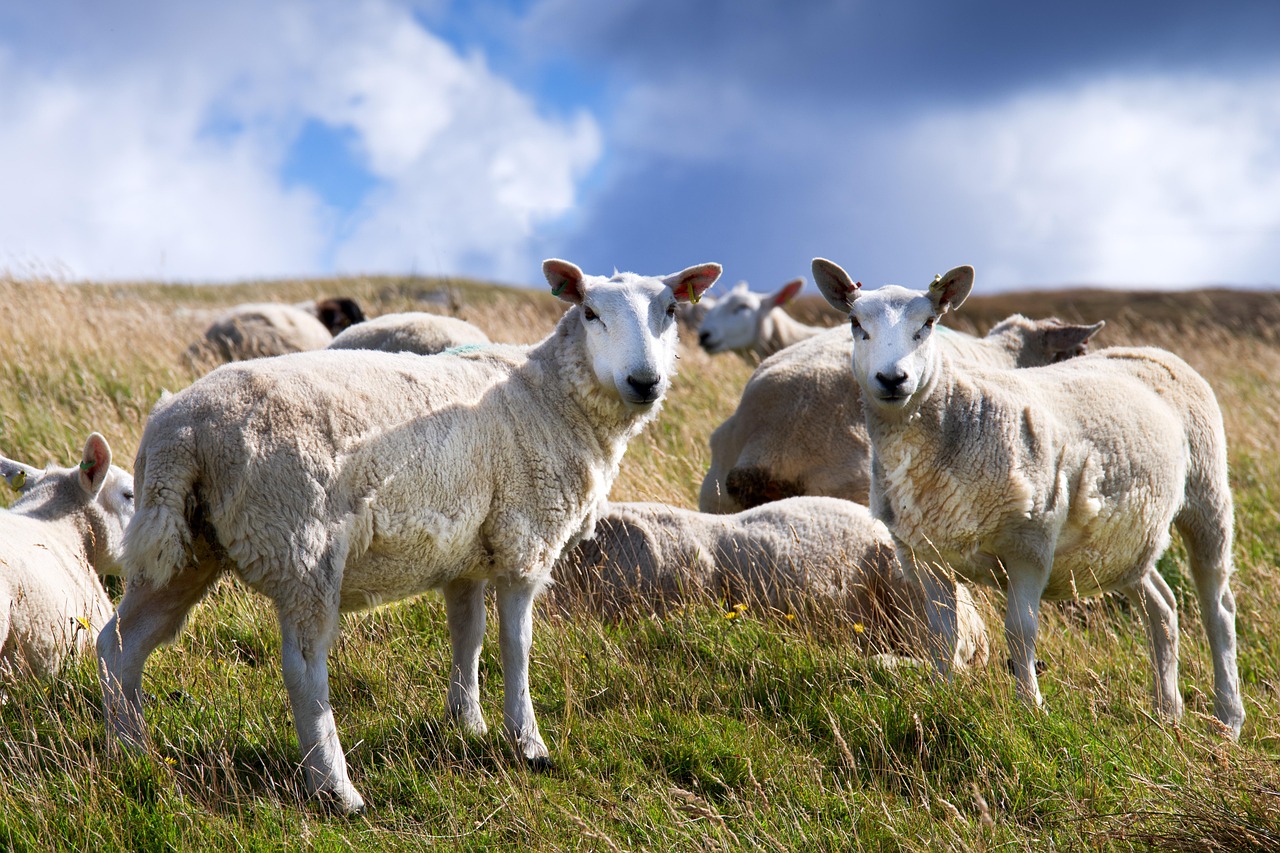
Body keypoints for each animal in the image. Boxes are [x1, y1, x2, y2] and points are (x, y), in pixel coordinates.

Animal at [811, 257, 1245, 737]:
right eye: (855, 324)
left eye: (928, 324)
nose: (892, 378)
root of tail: (1152, 349)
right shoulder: (922, 554)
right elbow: (942, 635)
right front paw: (940, 696)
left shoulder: (1030, 541)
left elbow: (1021, 632)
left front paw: (1030, 709)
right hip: (1125, 540)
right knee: (1162, 608)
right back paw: (1167, 711)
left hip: (1207, 495)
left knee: (1218, 608)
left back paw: (1228, 717)